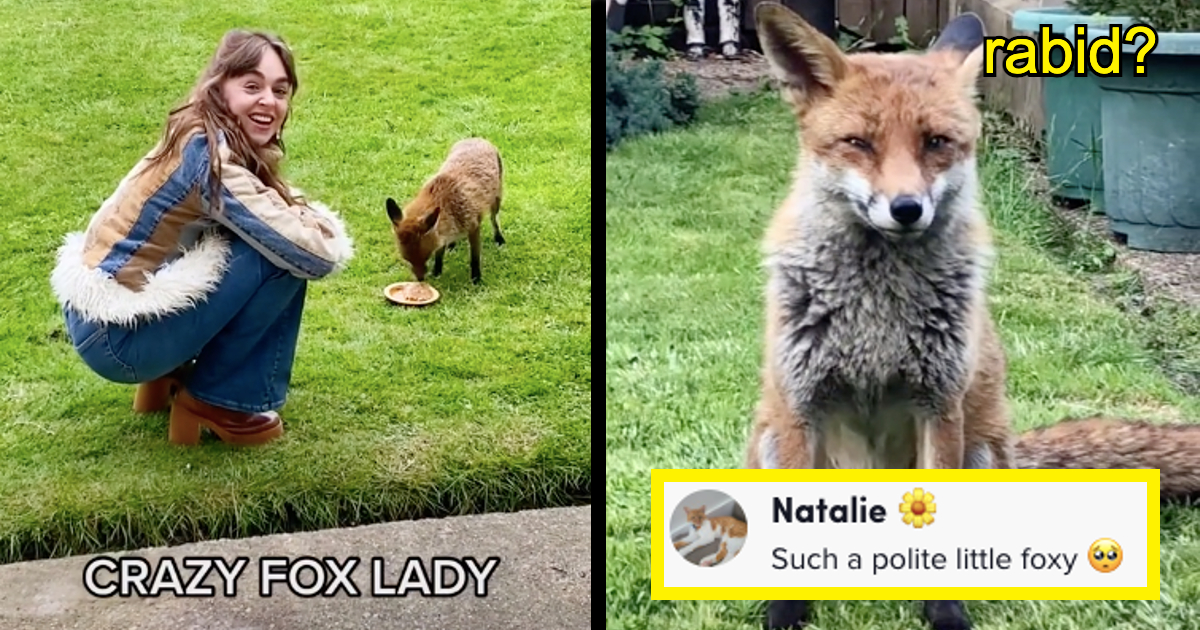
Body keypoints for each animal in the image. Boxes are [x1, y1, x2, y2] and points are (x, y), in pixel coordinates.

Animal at [385, 137, 505, 284]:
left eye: (426, 257)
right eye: (407, 260)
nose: (420, 280)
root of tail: (476, 138)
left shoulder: (474, 226)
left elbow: (475, 257)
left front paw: (476, 278)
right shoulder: (441, 230)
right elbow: (440, 253)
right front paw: (437, 271)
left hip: (496, 200)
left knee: (494, 220)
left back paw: (499, 238)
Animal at [744, 4, 1200, 630]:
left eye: (936, 142)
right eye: (858, 143)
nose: (906, 208)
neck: (876, 314)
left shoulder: (939, 403)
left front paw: (946, 614)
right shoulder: (801, 402)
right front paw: (787, 614)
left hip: (980, 449)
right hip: (768, 443)